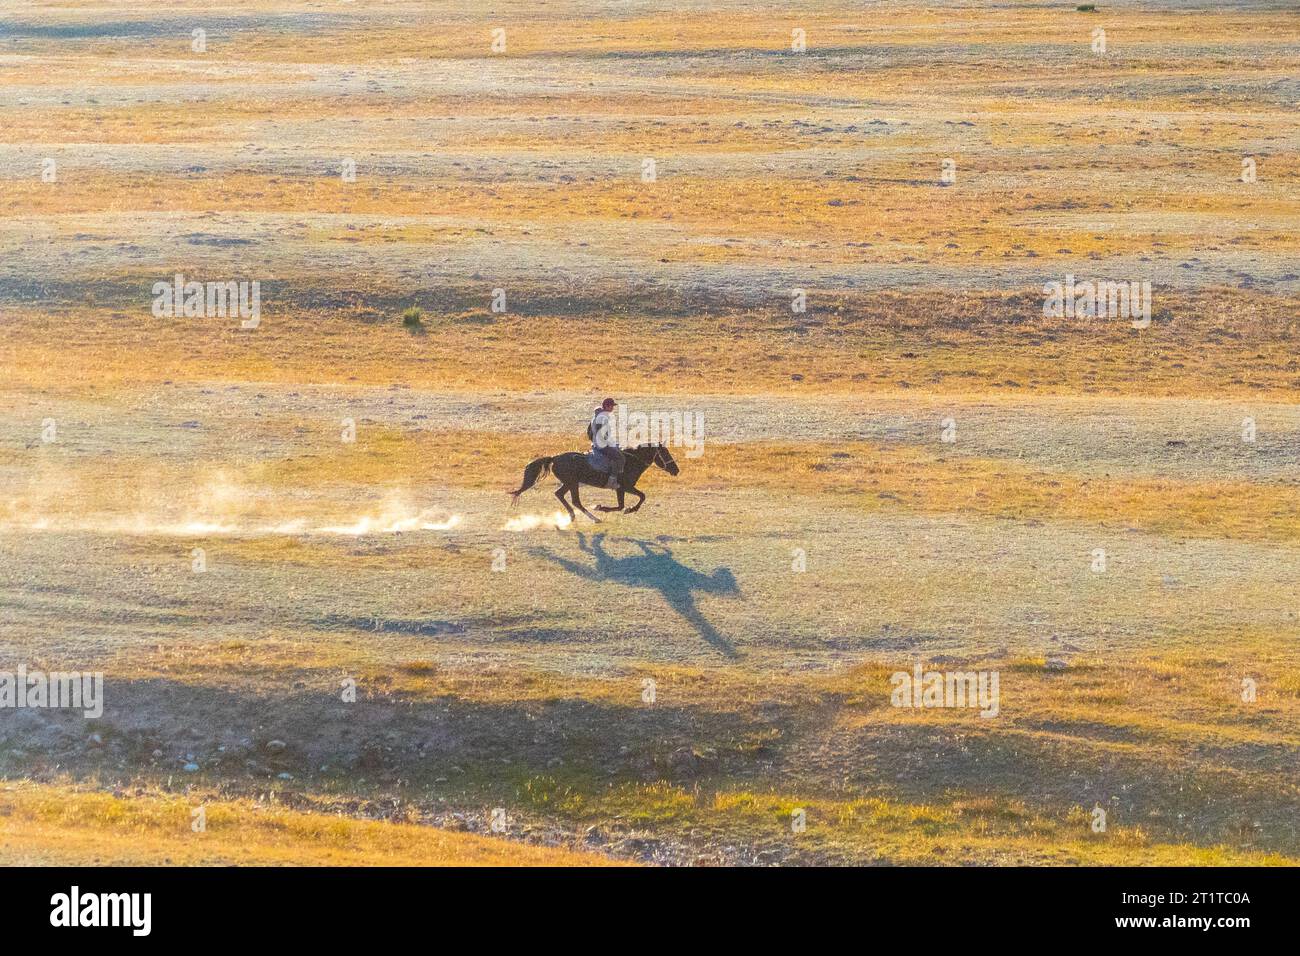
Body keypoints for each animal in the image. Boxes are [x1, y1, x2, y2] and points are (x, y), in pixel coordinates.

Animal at [510, 444, 679, 522]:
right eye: (665, 453)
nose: (676, 470)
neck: (632, 461)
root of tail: (555, 457)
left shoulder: (622, 489)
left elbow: (624, 504)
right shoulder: (625, 487)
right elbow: (638, 498)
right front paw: (626, 509)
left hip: (570, 483)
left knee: (560, 495)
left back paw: (573, 516)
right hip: (572, 483)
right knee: (575, 501)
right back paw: (594, 518)